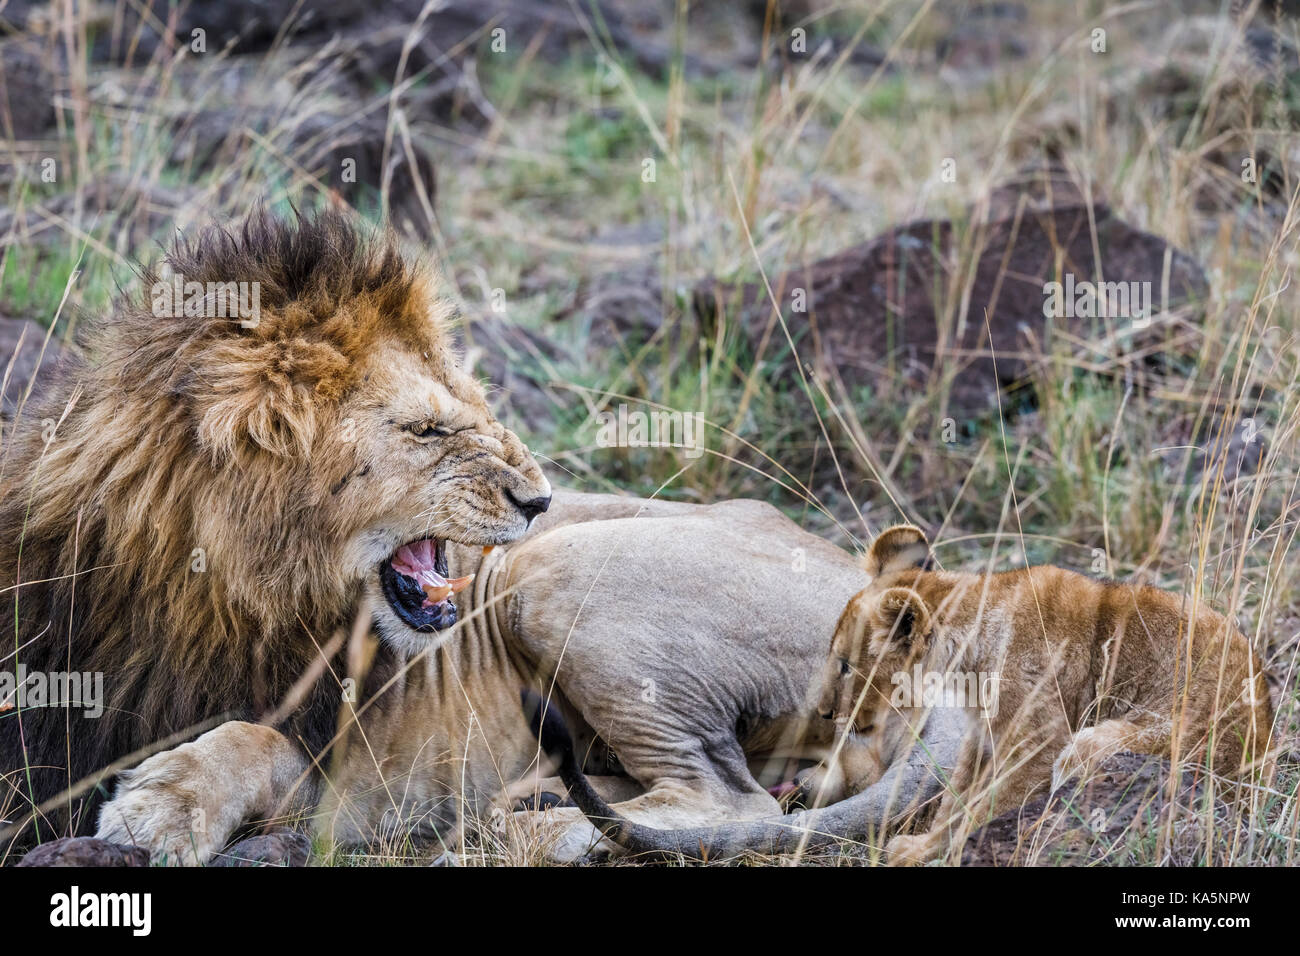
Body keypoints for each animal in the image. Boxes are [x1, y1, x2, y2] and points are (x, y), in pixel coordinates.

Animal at [0, 209, 553, 852]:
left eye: (481, 407)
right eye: (426, 429)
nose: (541, 501)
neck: (207, 602)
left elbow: (255, 741)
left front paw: (168, 803)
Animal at [538, 525, 1276, 864]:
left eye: (843, 664)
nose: (824, 714)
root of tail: (1265, 759)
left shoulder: (1038, 741)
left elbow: (980, 809)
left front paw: (917, 853)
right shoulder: (982, 739)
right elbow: (957, 798)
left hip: (1105, 742)